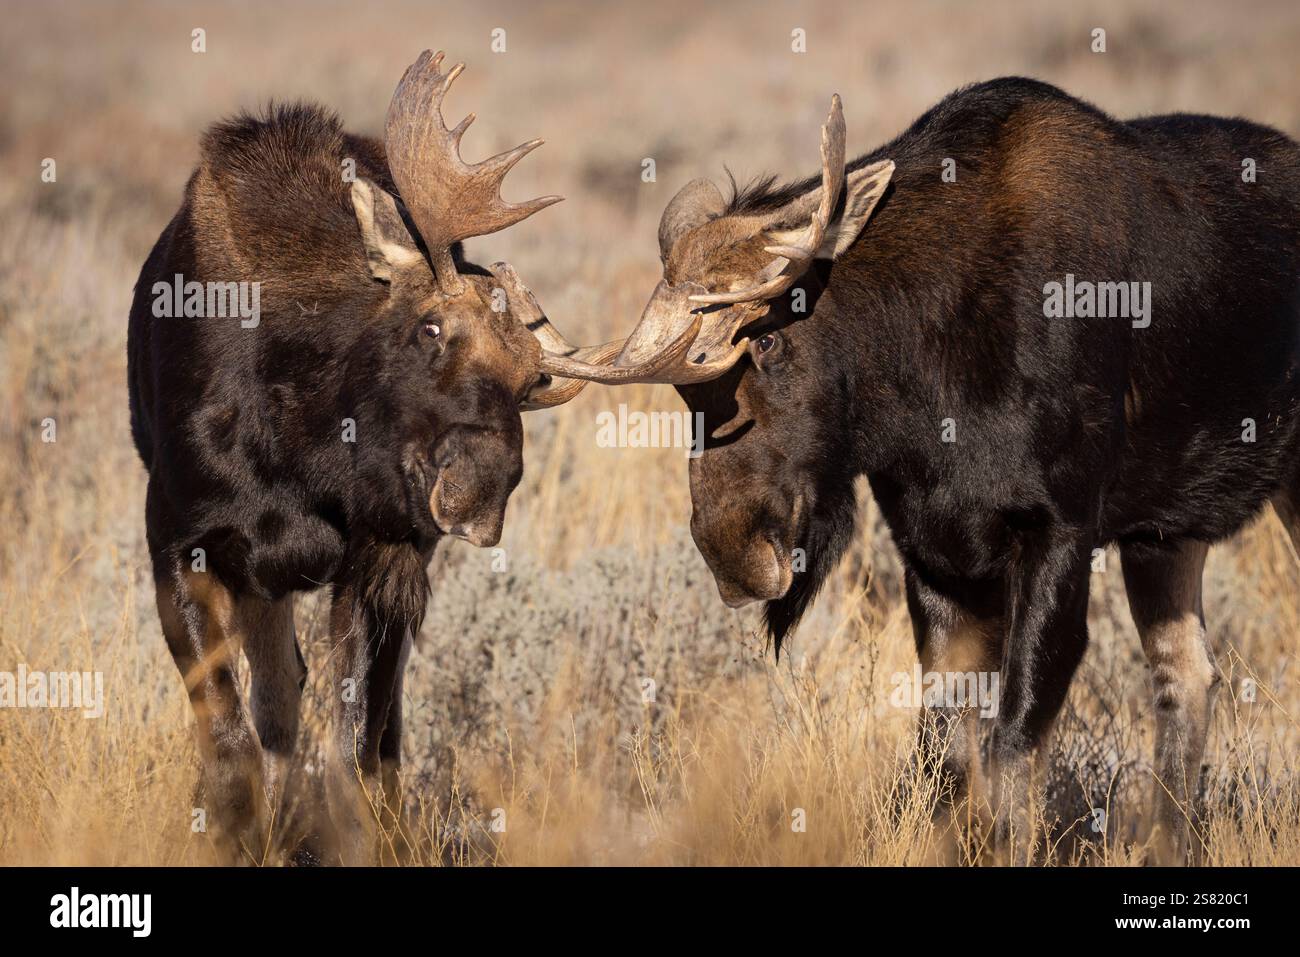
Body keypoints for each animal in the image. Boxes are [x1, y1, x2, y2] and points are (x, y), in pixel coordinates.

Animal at [126, 50, 664, 864]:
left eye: (530, 383)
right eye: (430, 327)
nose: (478, 491)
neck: (299, 447)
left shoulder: (381, 562)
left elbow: (354, 754)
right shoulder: (181, 542)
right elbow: (229, 750)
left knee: (368, 729)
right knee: (277, 702)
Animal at [549, 78, 1300, 863]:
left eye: (769, 343)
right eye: (683, 392)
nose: (734, 556)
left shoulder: (1061, 530)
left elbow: (1012, 746)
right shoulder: (936, 553)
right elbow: (944, 755)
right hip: (1163, 534)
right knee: (1188, 672)